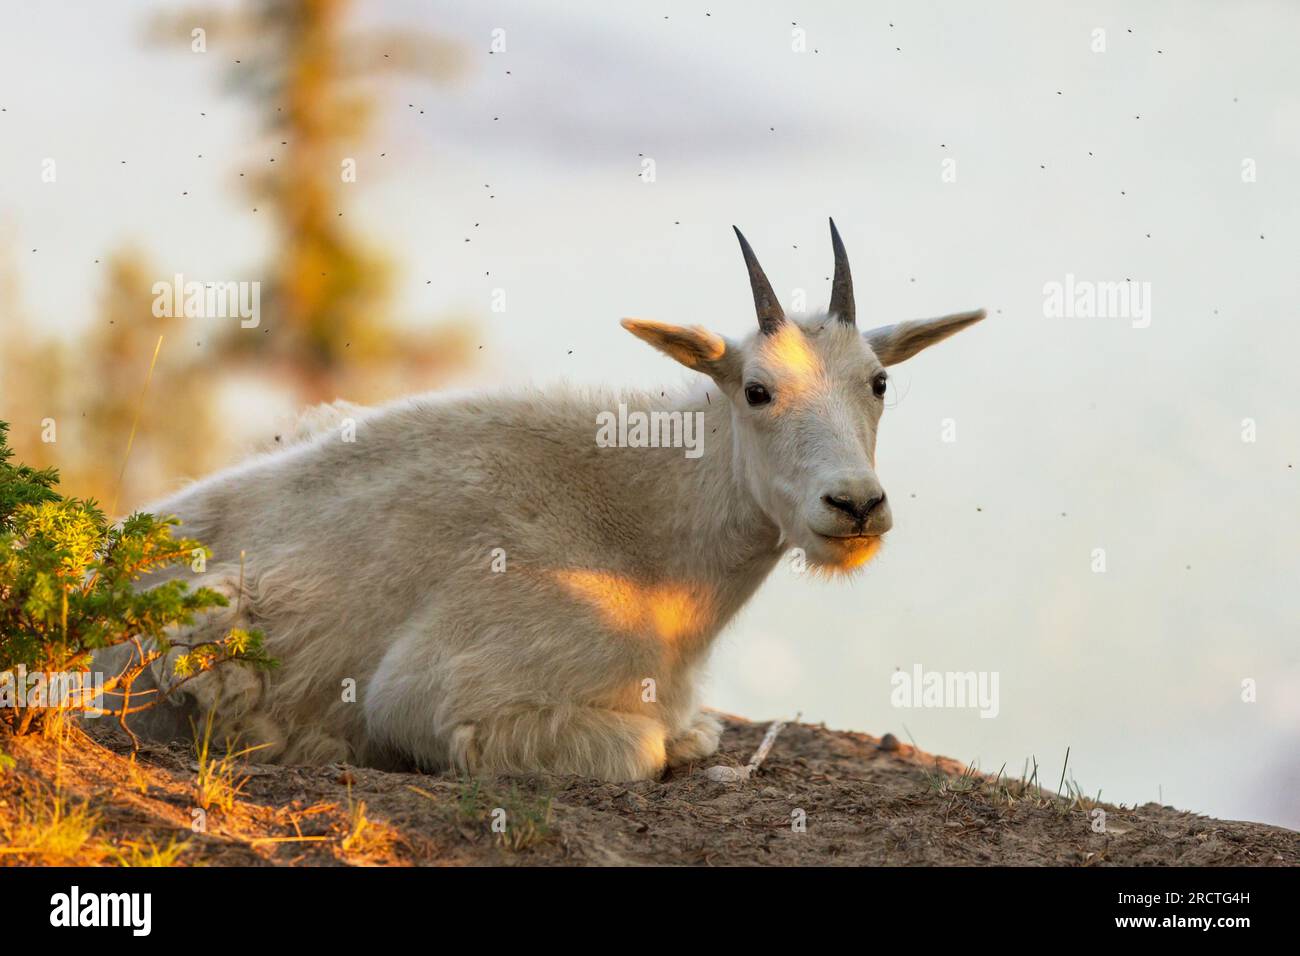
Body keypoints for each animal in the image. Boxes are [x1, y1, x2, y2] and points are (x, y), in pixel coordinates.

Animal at [97, 220, 984, 781]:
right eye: (758, 391)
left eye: (878, 381)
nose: (855, 506)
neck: (648, 545)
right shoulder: (440, 694)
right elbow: (644, 750)